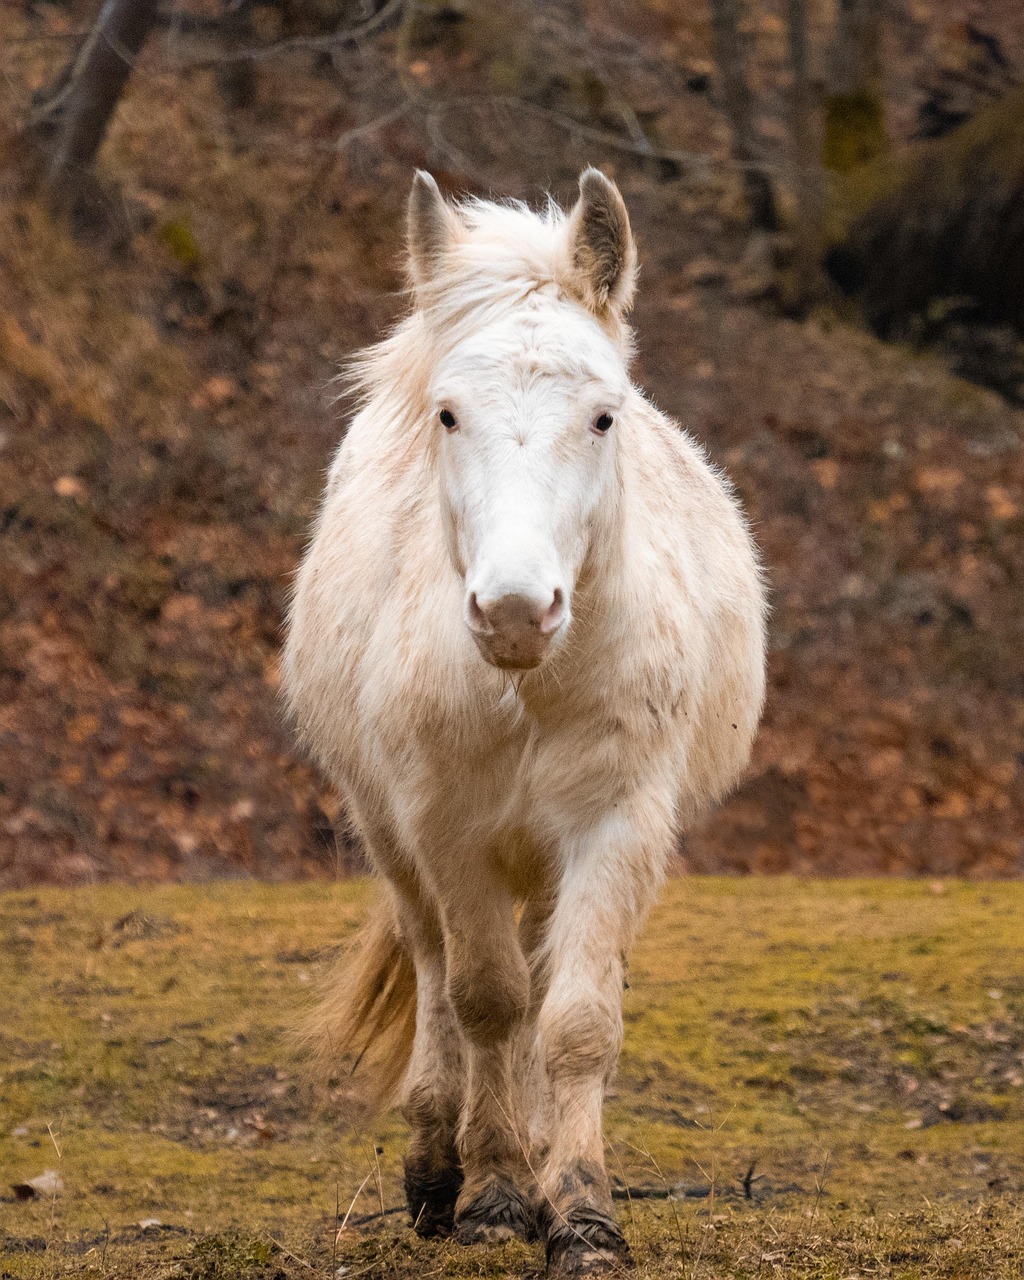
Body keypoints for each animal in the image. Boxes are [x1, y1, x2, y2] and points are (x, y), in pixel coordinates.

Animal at [282, 168, 767, 1277]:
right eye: (449, 414)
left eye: (603, 417)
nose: (513, 611)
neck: (528, 689)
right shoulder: (447, 830)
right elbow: (486, 1000)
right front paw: (495, 1193)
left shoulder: (615, 825)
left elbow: (575, 1020)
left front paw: (579, 1212)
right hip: (393, 835)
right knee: (434, 969)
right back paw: (436, 1167)